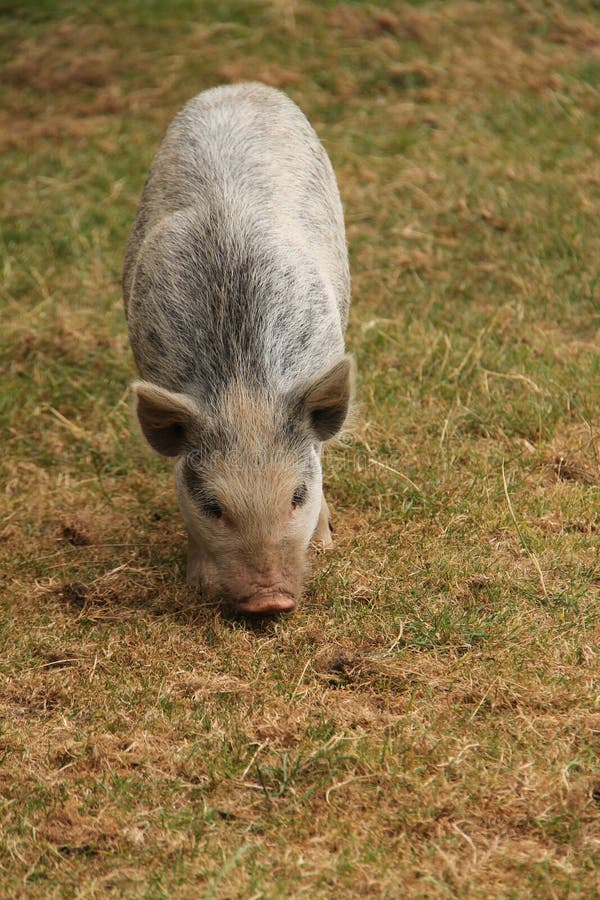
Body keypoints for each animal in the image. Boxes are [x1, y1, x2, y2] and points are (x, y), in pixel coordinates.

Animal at [122, 82, 352, 614]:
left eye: (297, 496)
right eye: (213, 506)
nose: (270, 601)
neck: (244, 387)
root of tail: (239, 87)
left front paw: (327, 545)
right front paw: (197, 584)